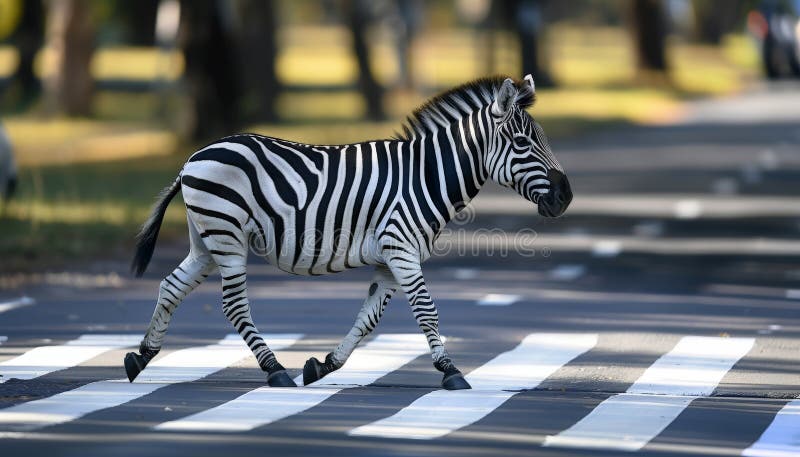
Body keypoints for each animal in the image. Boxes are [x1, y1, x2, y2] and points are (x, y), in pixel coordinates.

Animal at [125, 75, 572, 390]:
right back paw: (274, 369)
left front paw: (324, 365)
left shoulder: (391, 260)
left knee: (170, 286)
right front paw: (451, 371)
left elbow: (368, 319)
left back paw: (140, 357)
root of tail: (194, 157)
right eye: (521, 142)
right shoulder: (401, 248)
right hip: (227, 237)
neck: (425, 176)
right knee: (234, 305)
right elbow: (426, 310)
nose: (566, 197)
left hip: (206, 240)